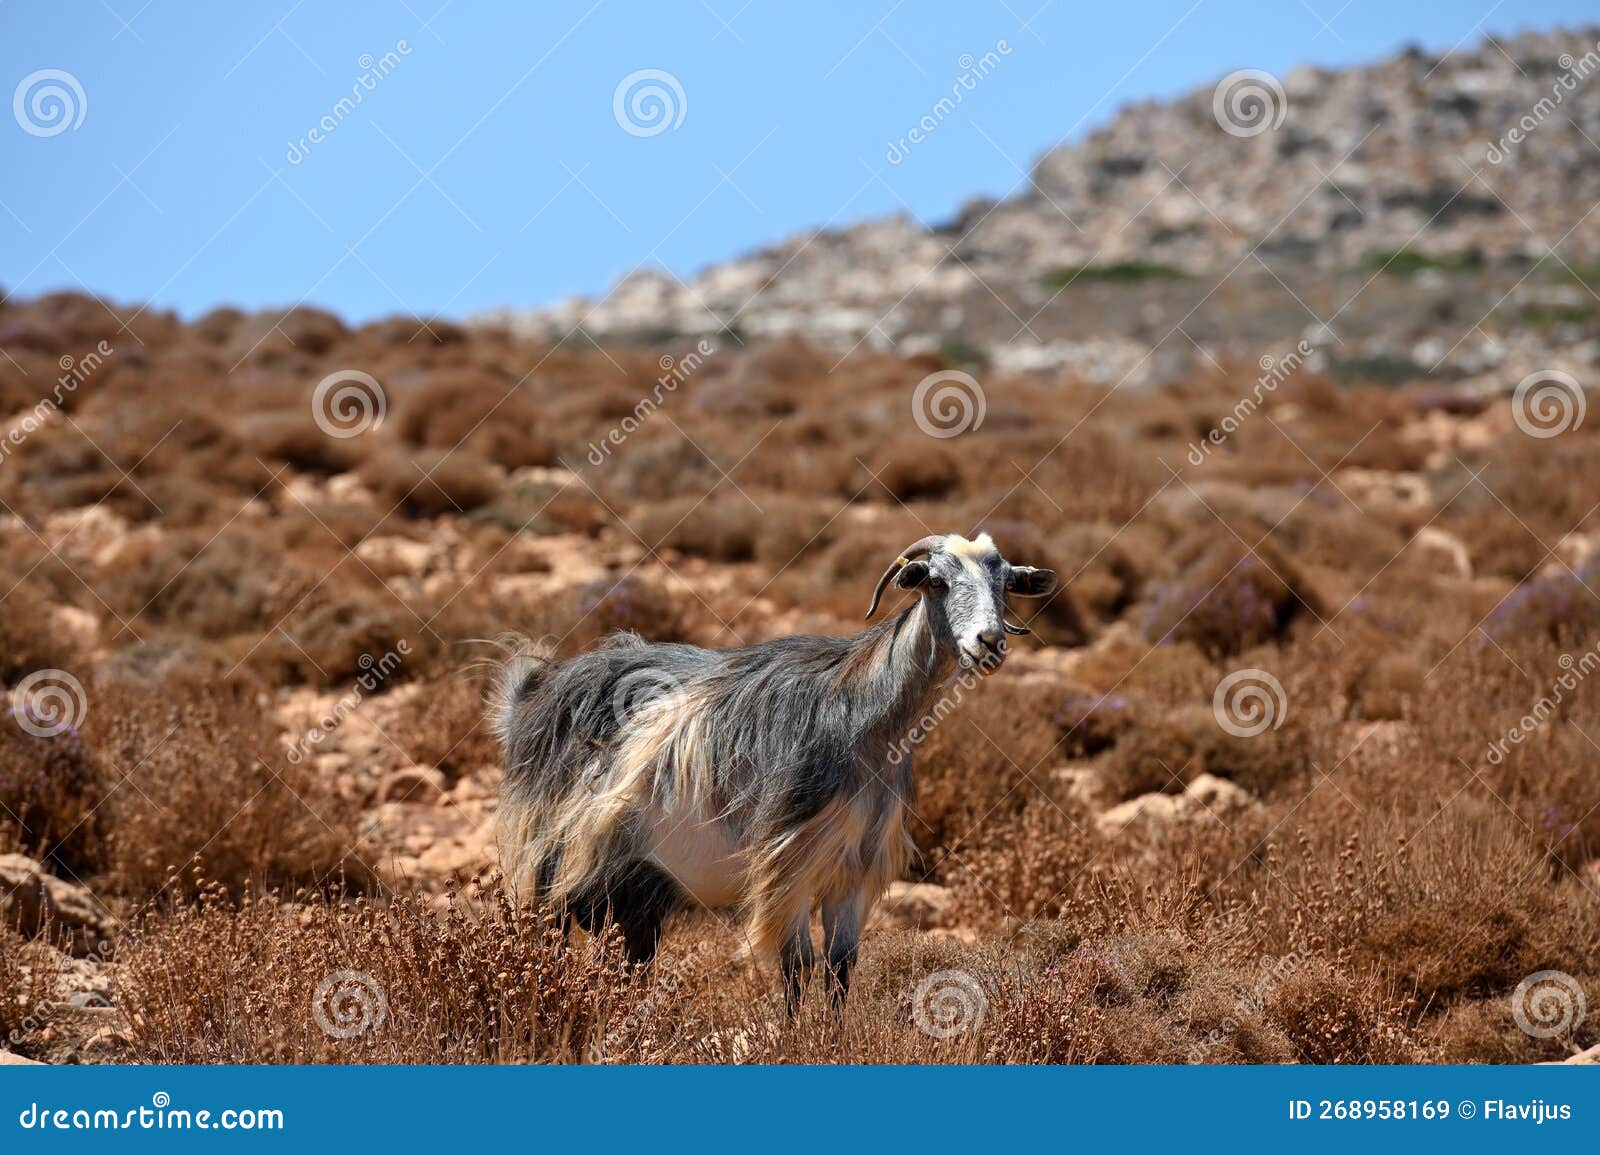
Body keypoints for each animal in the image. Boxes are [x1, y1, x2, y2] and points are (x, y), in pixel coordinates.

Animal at [493, 531, 1058, 1008]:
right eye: (936, 580)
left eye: (1004, 582)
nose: (989, 642)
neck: (863, 720)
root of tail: (540, 695)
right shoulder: (787, 864)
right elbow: (796, 968)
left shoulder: (854, 871)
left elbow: (840, 968)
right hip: (551, 859)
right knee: (550, 933)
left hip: (637, 887)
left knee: (629, 960)